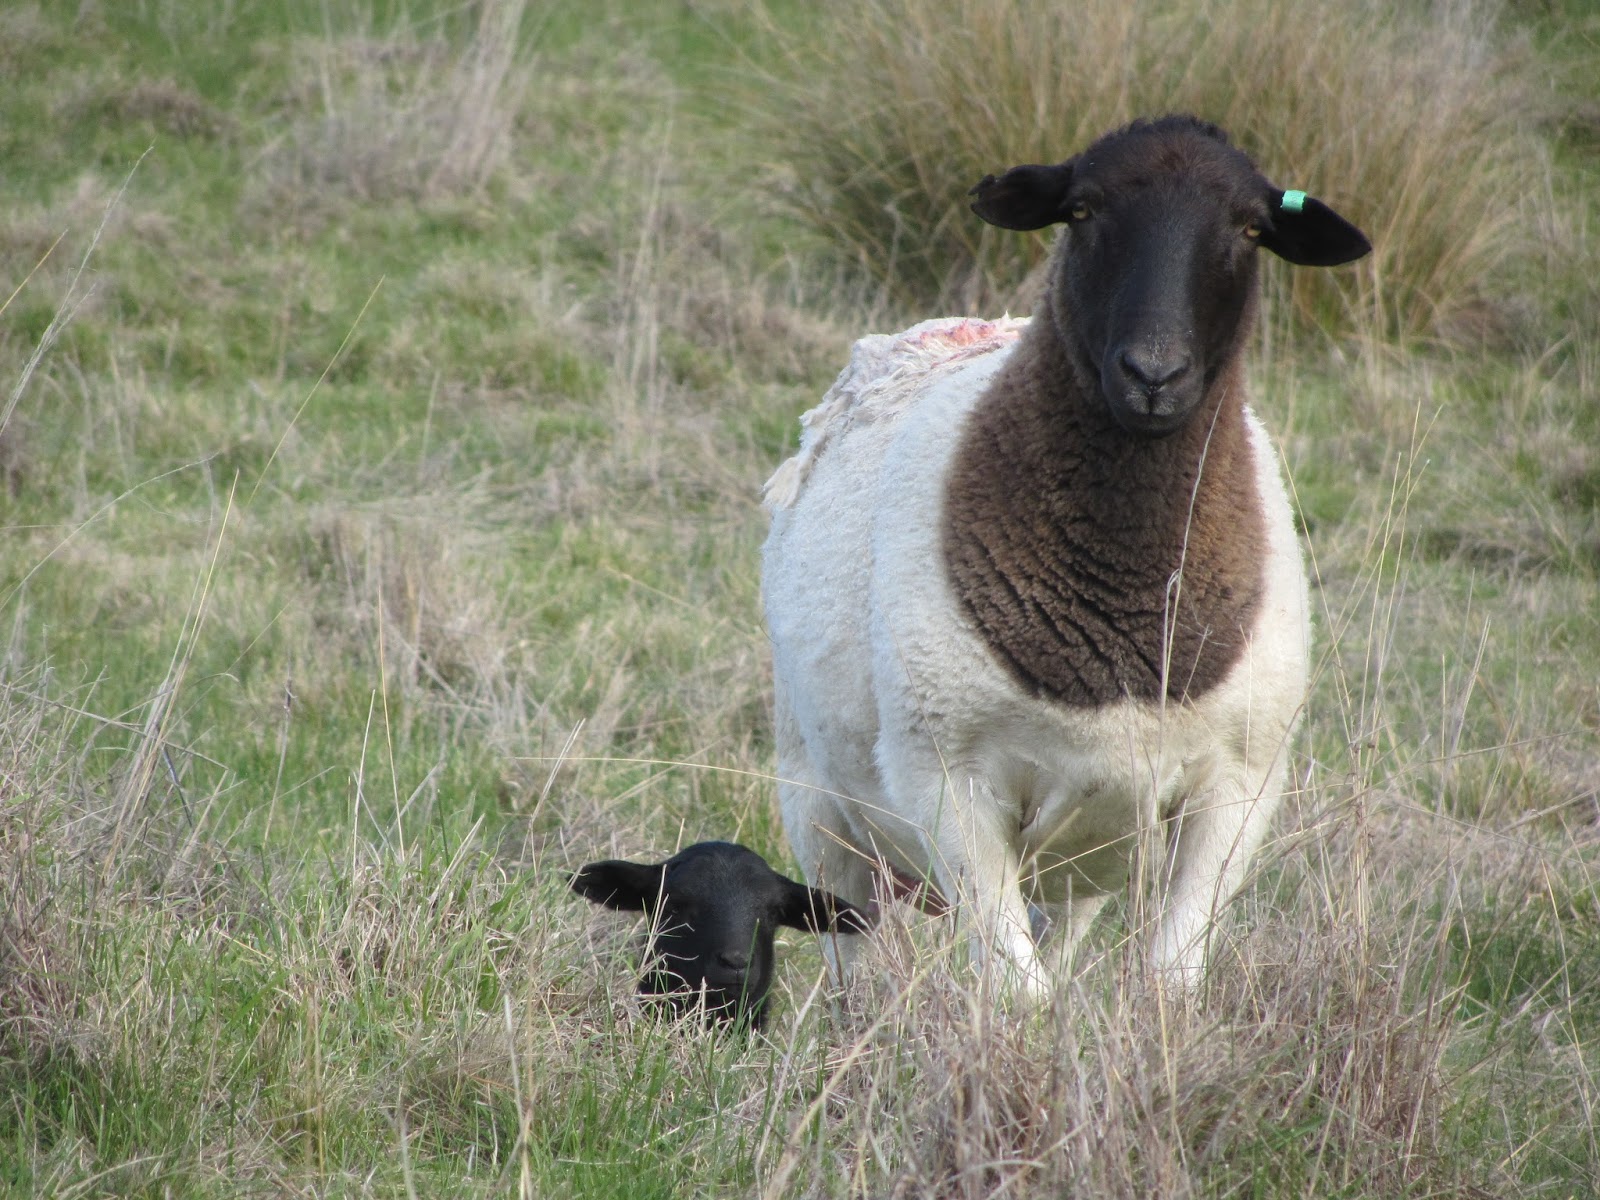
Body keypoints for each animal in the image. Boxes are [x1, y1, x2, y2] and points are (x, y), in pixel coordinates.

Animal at [761, 115, 1371, 996]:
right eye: (1081, 210)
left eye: (1251, 228)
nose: (1154, 373)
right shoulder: (948, 780)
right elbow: (1019, 994)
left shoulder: (1239, 785)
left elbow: (1170, 977)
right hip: (819, 803)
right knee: (852, 957)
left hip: (1085, 848)